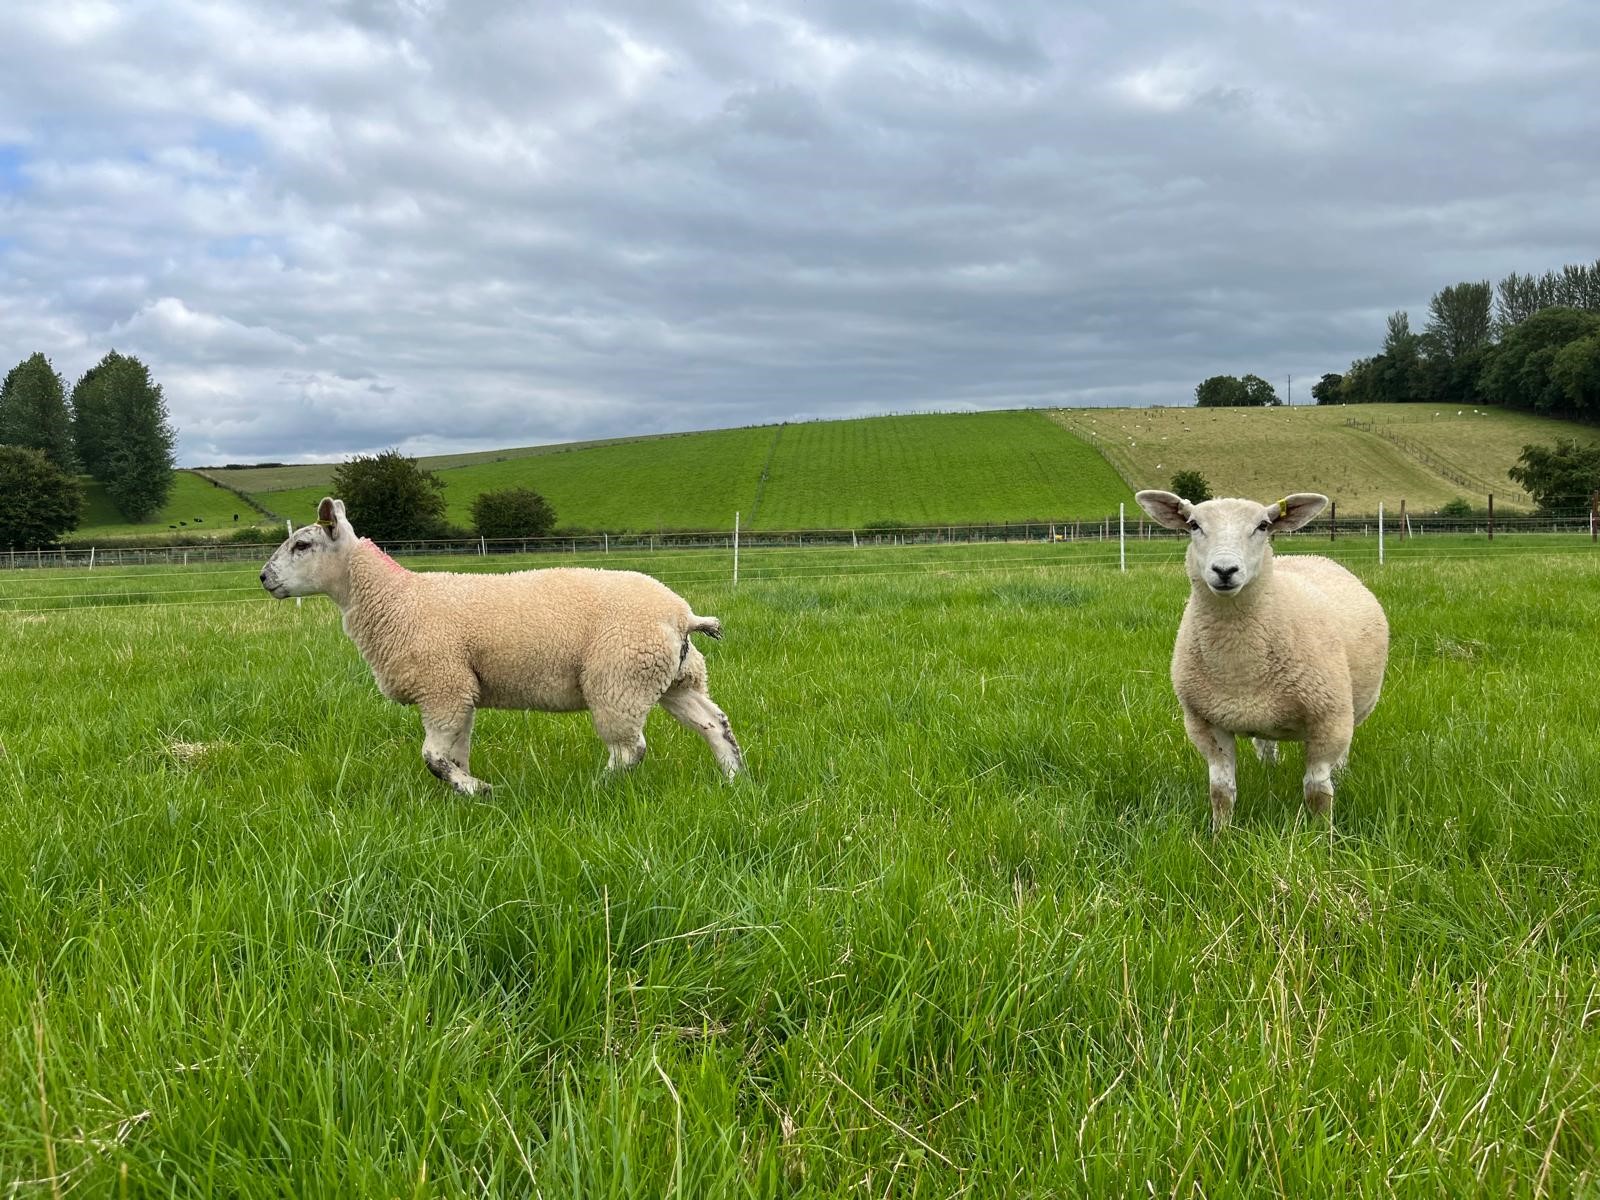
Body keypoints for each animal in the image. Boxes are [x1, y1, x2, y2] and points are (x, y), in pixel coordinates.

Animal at [259, 497, 743, 794]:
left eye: (302, 544)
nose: (263, 577)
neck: (395, 600)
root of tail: (681, 615)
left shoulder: (443, 687)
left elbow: (432, 757)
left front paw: (478, 791)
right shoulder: (459, 693)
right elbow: (456, 753)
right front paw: (463, 792)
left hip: (618, 680)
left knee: (629, 750)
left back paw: (593, 787)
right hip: (676, 678)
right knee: (714, 724)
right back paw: (735, 779)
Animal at [1134, 490, 1389, 831]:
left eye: (1263, 525)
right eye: (1193, 525)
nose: (1224, 570)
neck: (1239, 669)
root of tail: (1312, 557)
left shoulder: (1328, 717)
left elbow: (1318, 792)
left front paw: (1322, 837)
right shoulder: (1205, 722)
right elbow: (1221, 792)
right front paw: (1220, 837)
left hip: (1354, 709)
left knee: (1343, 751)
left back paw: (1342, 775)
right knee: (1266, 745)